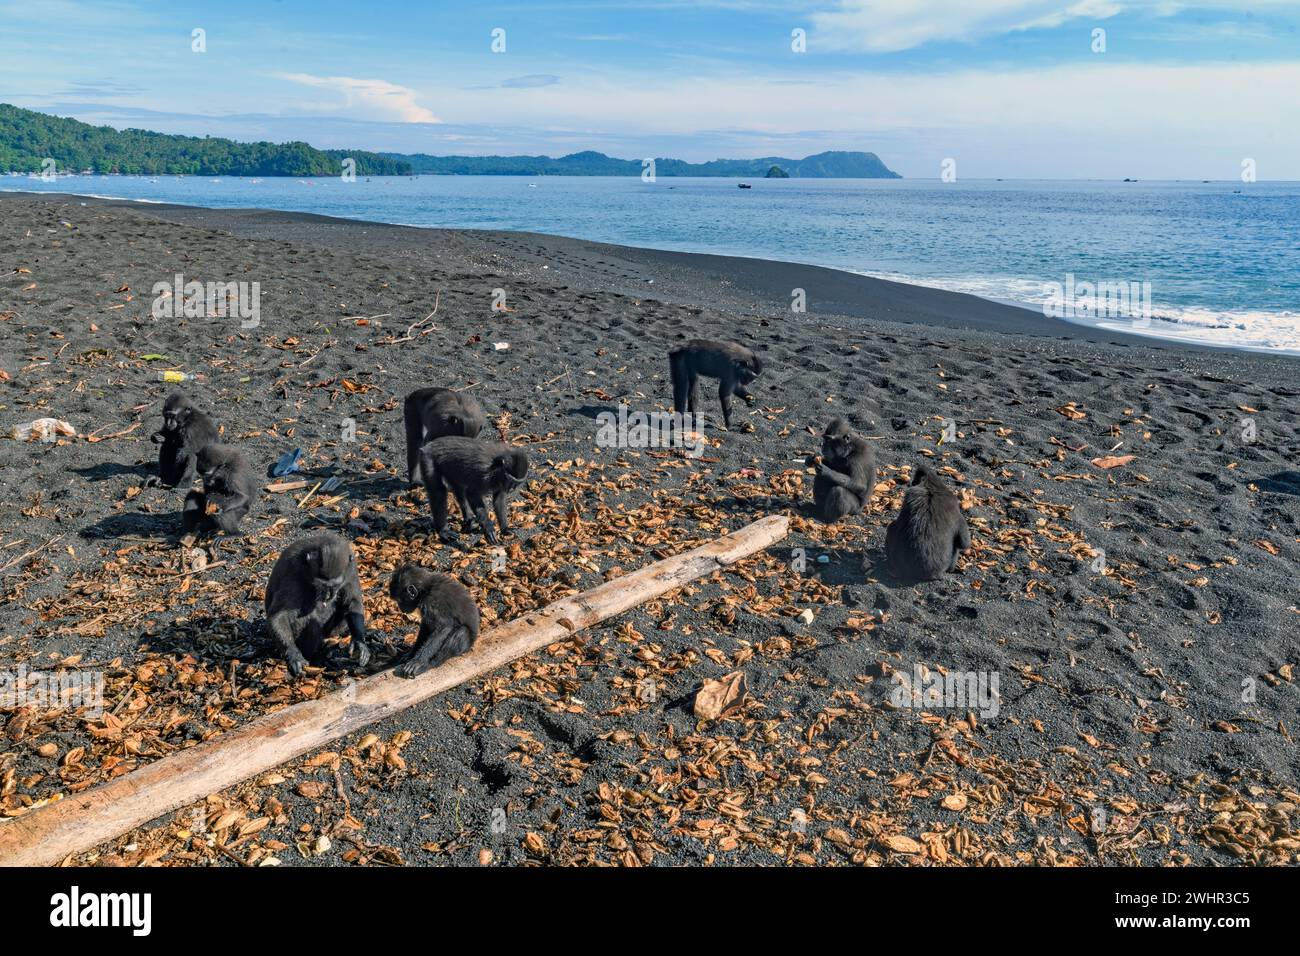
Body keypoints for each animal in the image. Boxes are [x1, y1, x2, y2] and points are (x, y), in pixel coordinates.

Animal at [265, 533, 371, 677]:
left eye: (335, 585)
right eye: (321, 585)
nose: (328, 596)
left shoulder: (351, 567)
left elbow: (352, 602)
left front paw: (359, 641)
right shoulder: (292, 570)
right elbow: (279, 615)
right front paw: (293, 654)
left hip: (330, 630)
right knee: (307, 620)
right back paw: (316, 656)